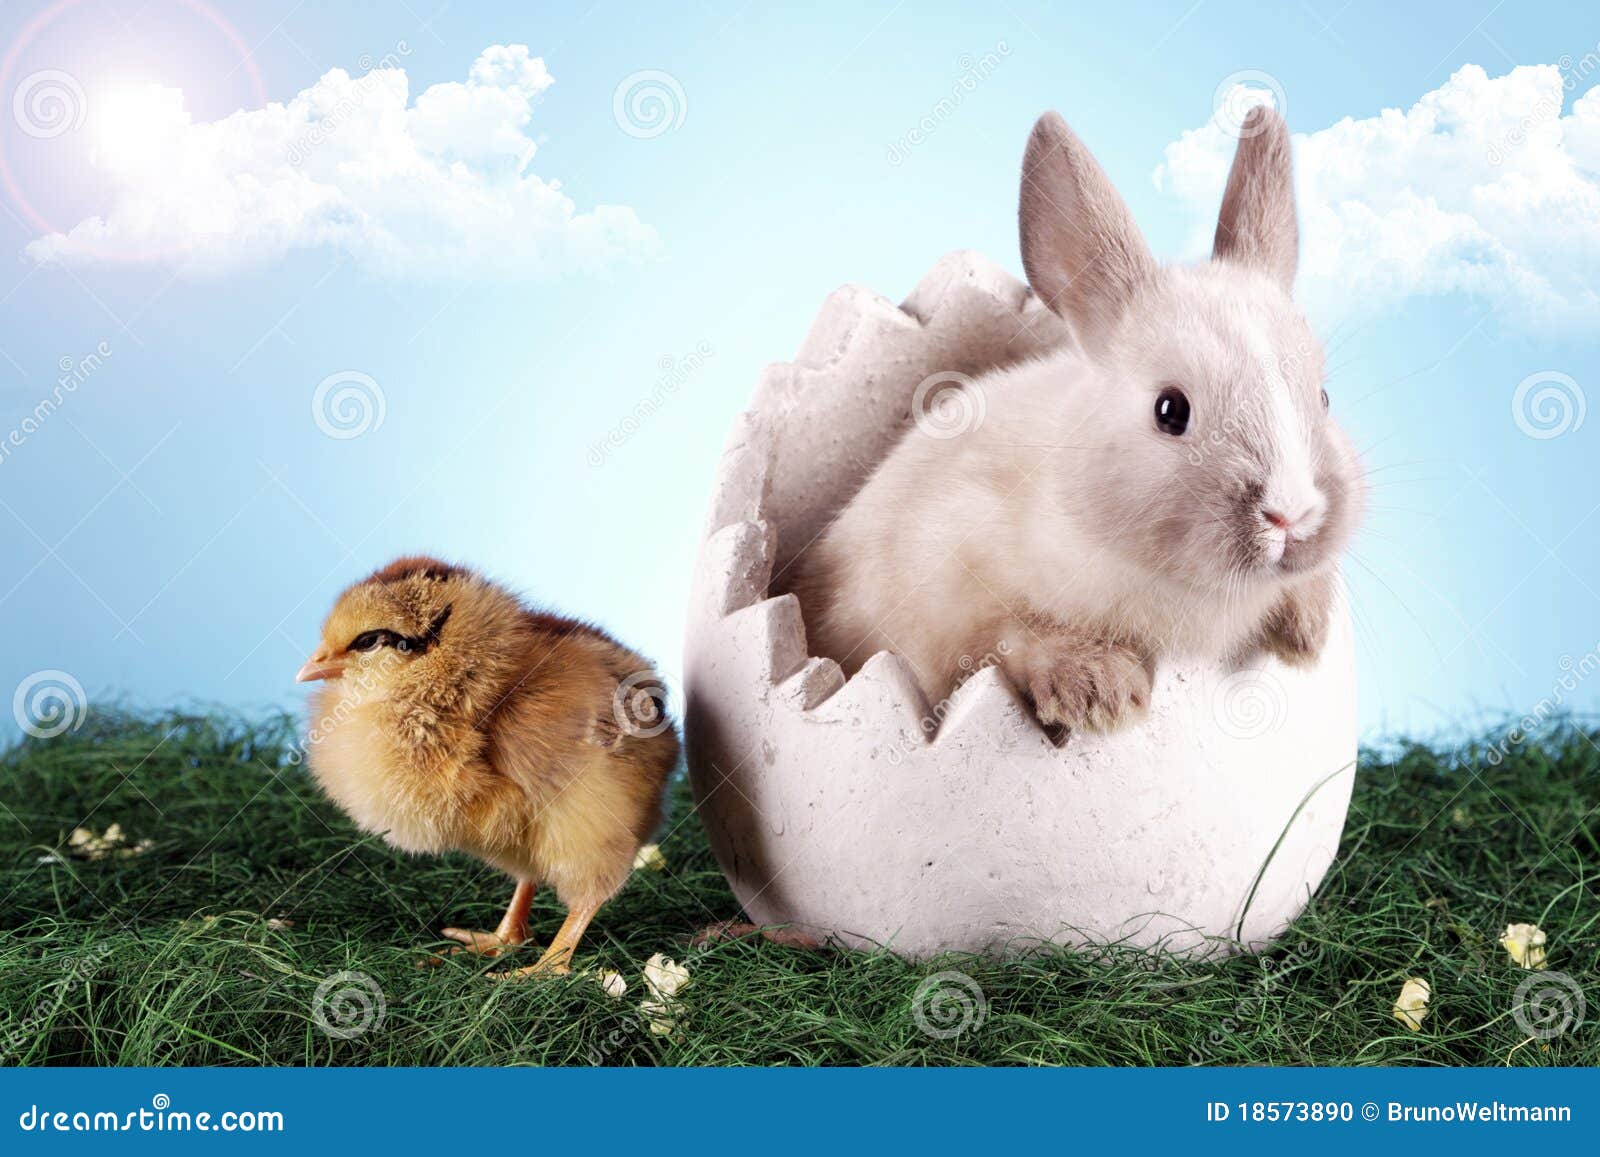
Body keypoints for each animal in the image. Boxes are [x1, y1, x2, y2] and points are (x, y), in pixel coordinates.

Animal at [788, 107, 1363, 733]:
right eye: (1171, 410)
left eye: (1324, 397)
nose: (1292, 515)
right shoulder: (946, 577)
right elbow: (1012, 634)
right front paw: (1101, 691)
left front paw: (1307, 632)